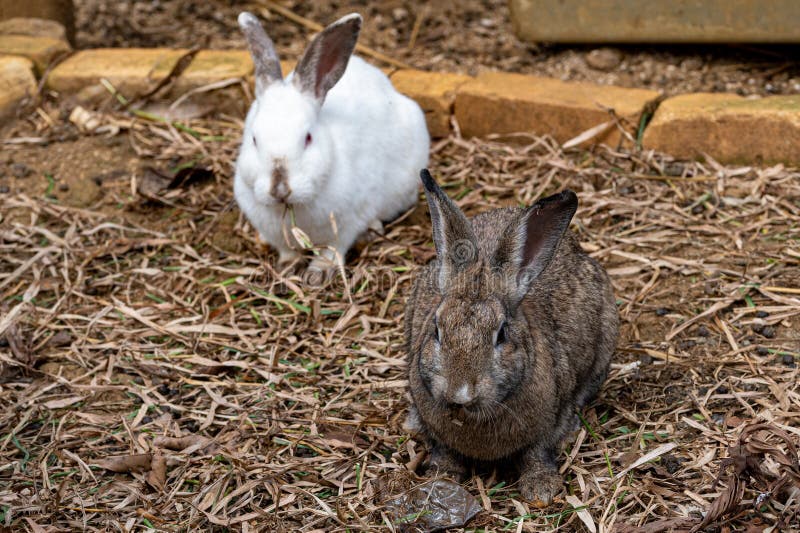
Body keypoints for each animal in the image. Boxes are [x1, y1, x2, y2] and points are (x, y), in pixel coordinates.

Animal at [234, 12, 429, 271]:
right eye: (254, 139)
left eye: (308, 138)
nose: (280, 190)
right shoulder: (276, 234)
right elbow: (287, 250)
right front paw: (287, 266)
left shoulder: (346, 226)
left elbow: (333, 251)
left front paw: (319, 272)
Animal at [404, 169, 618, 504]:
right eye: (437, 330)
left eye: (501, 334)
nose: (458, 393)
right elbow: (444, 450)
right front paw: (442, 476)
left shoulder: (549, 421)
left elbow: (537, 452)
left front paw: (541, 489)